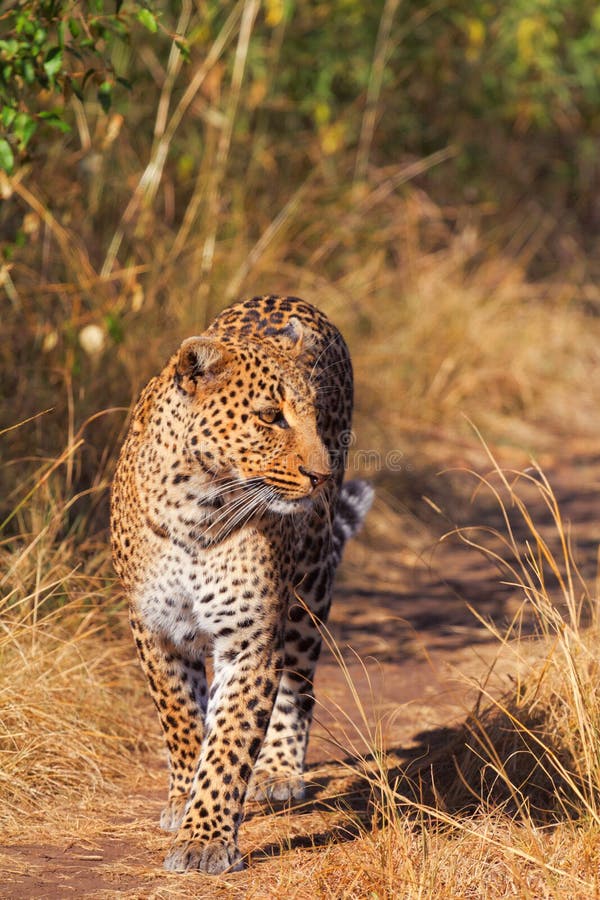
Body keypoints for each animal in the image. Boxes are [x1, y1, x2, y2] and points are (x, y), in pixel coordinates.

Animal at [110, 294, 373, 875]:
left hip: (309, 595)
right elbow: (182, 720)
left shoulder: (250, 639)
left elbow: (230, 741)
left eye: (314, 418)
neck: (198, 510)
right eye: (270, 417)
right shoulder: (154, 630)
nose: (321, 476)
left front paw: (206, 839)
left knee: (298, 686)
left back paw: (277, 772)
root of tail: (291, 296)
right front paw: (184, 801)